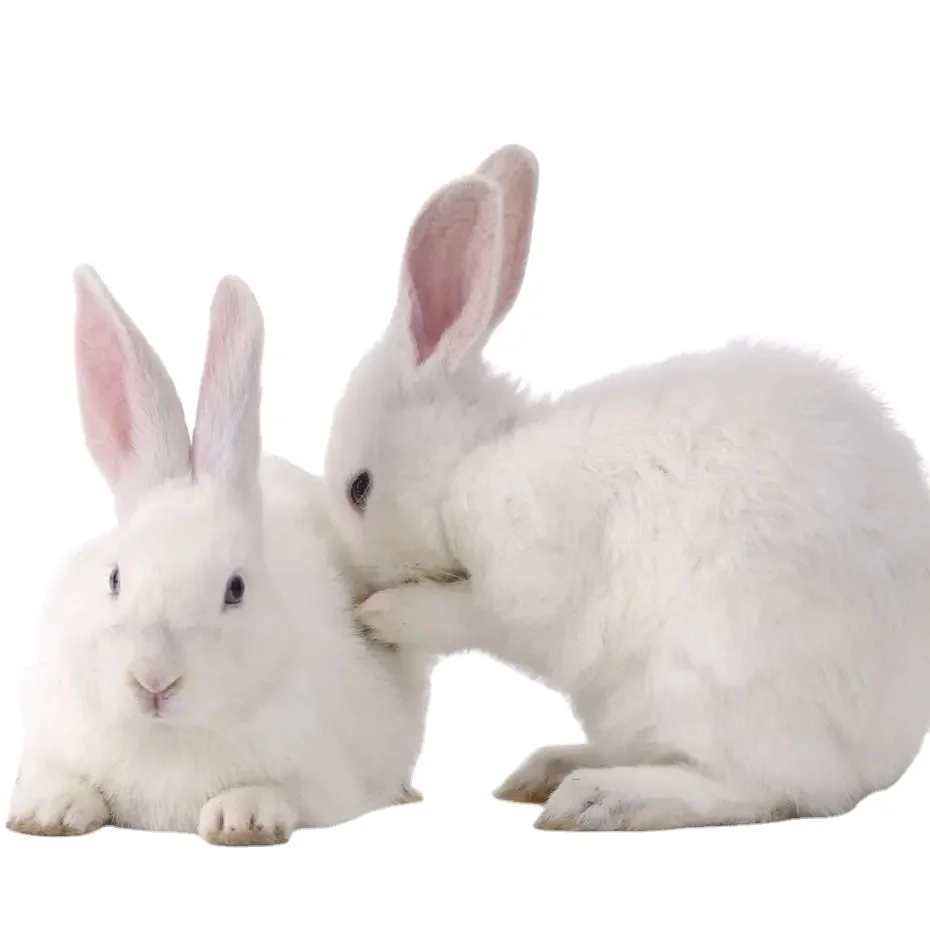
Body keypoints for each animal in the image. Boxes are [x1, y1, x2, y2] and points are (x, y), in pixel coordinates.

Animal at [5, 266, 431, 846]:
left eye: (236, 589)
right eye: (114, 578)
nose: (154, 680)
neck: (168, 739)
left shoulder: (326, 783)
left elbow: (277, 790)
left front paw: (241, 818)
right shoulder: (47, 738)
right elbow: (58, 778)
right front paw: (51, 812)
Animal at [324, 143, 930, 831]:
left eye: (360, 488)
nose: (358, 582)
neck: (468, 463)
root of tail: (886, 753)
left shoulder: (521, 571)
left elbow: (467, 612)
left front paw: (381, 615)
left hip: (702, 683)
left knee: (768, 787)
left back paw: (595, 798)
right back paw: (547, 767)